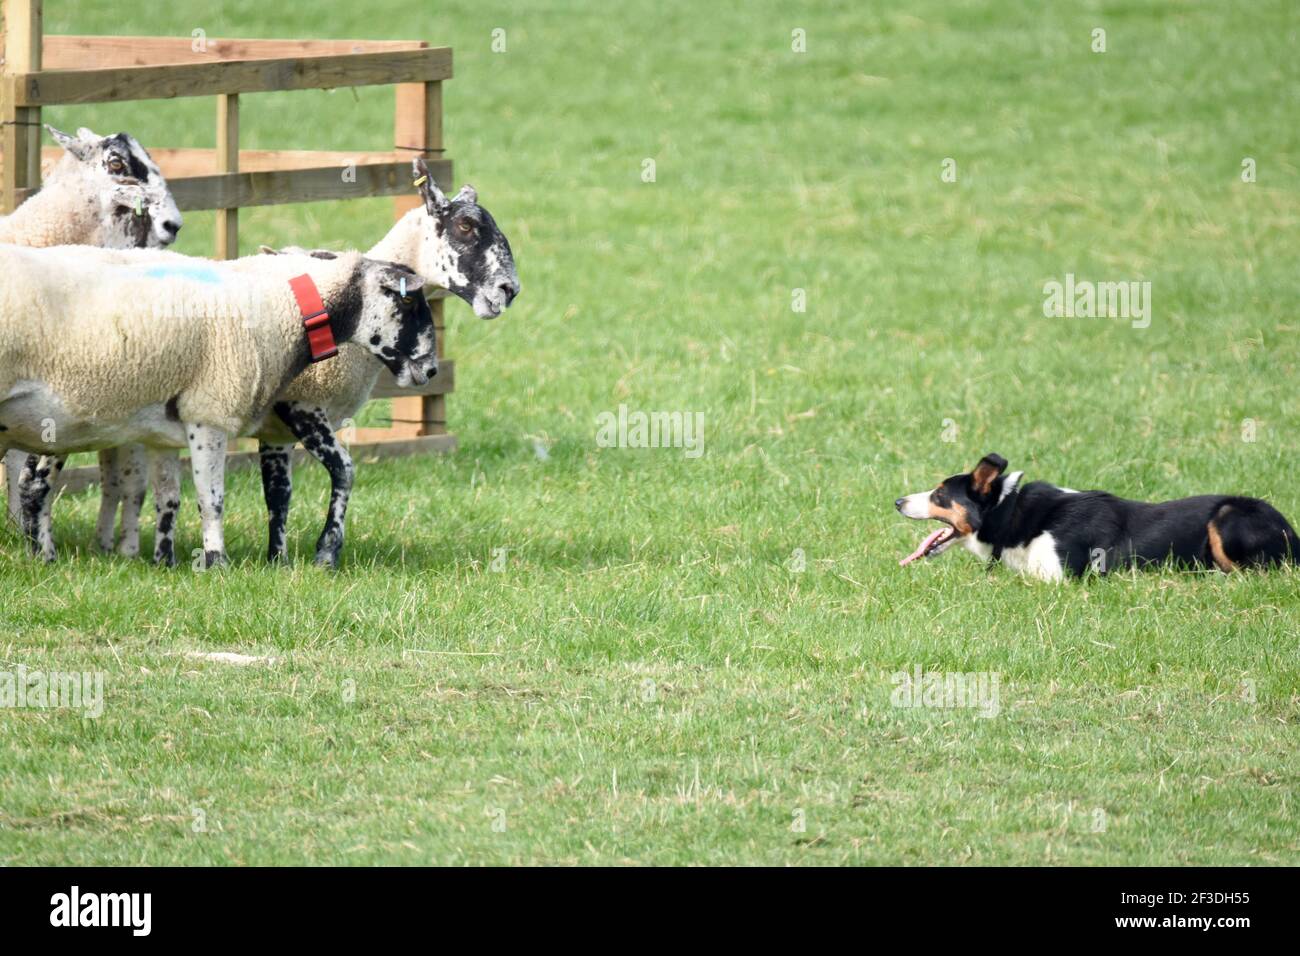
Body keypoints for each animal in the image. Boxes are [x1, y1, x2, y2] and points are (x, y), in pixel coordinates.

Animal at [0, 244, 437, 566]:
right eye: (410, 302)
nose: (432, 370)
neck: (280, 307)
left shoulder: (174, 424)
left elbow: (183, 496)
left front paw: (168, 561)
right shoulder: (211, 411)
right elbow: (212, 498)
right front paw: (218, 562)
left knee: (32, 485)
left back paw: (44, 557)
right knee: (34, 485)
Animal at [107, 159, 519, 568]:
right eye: (465, 226)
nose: (510, 290)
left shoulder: (276, 431)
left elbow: (279, 496)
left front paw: (278, 560)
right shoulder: (300, 404)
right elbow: (344, 470)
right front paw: (326, 551)